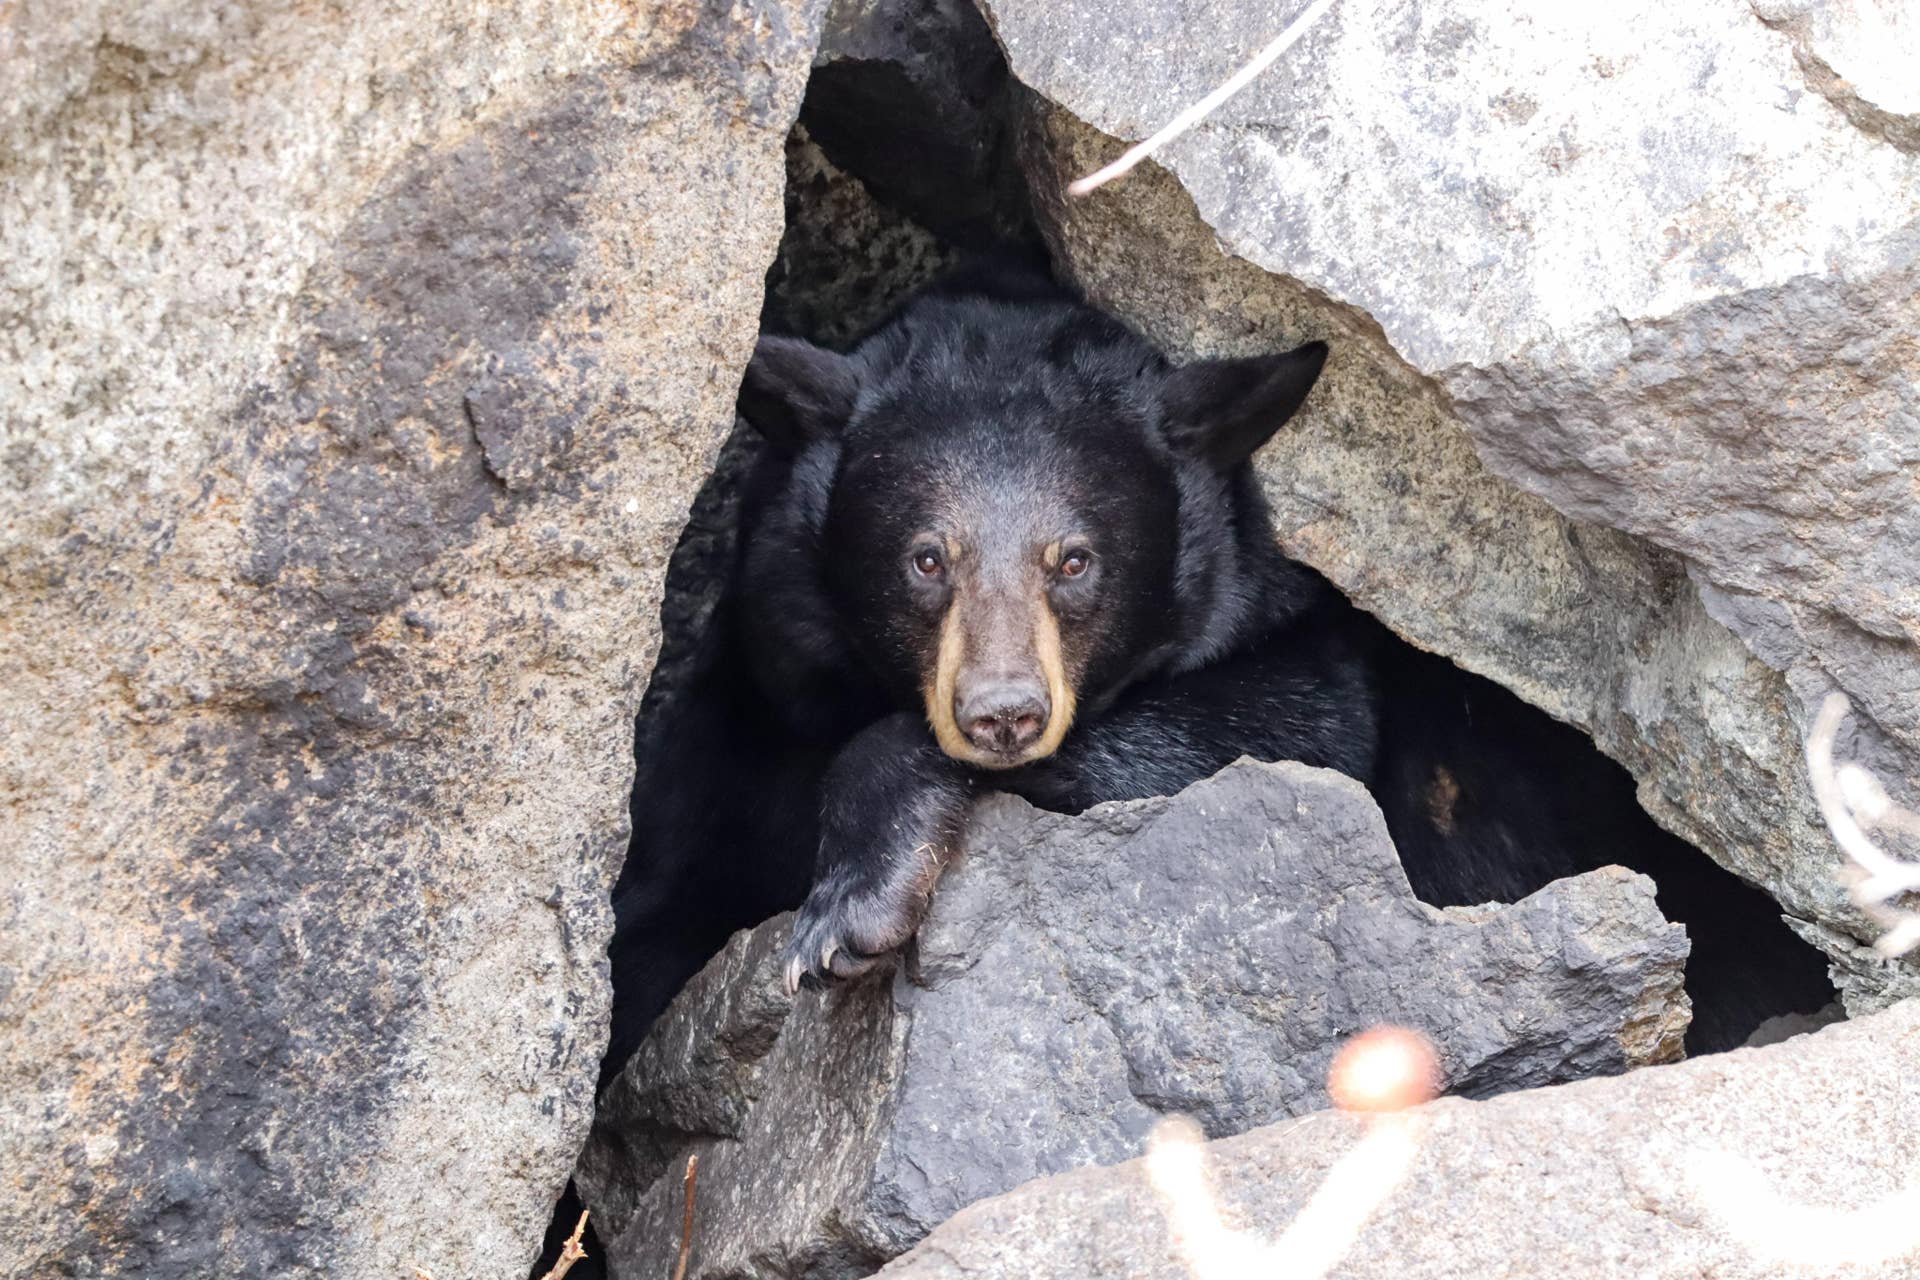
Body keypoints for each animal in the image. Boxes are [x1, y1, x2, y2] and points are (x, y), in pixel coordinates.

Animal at [604, 259, 1831, 1082]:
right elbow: (648, 920)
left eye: (1075, 558)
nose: (1002, 713)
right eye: (926, 556)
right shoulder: (734, 713)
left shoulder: (1305, 658)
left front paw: (850, 902)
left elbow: (1271, 736)